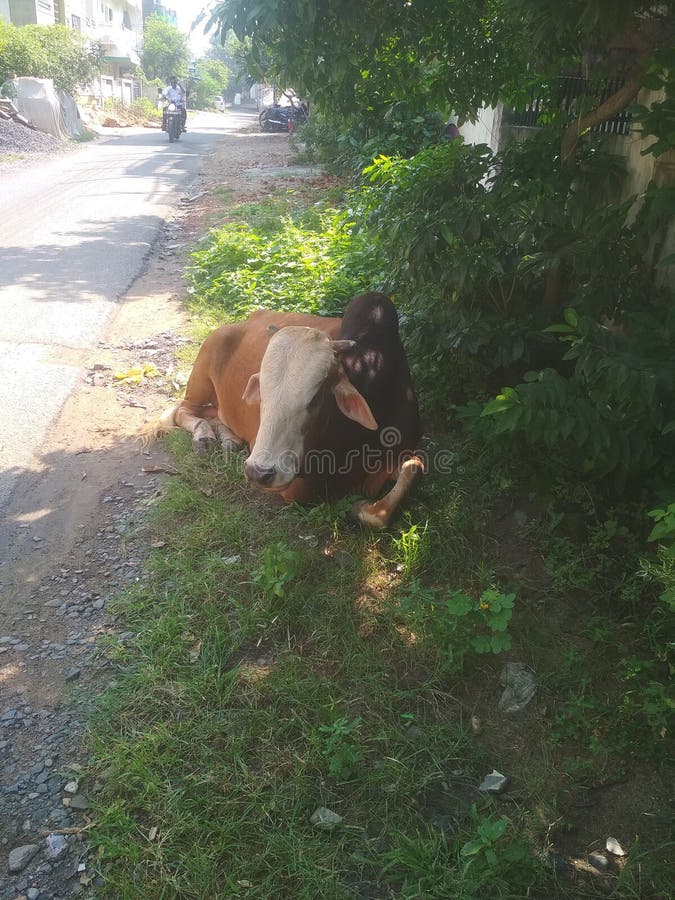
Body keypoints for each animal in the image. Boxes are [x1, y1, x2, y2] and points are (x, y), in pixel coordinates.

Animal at [146, 292, 424, 528]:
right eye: (262, 390)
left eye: (316, 397)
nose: (258, 472)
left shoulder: (407, 447)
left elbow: (414, 468)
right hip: (201, 374)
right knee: (183, 410)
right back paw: (204, 436)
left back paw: (229, 439)